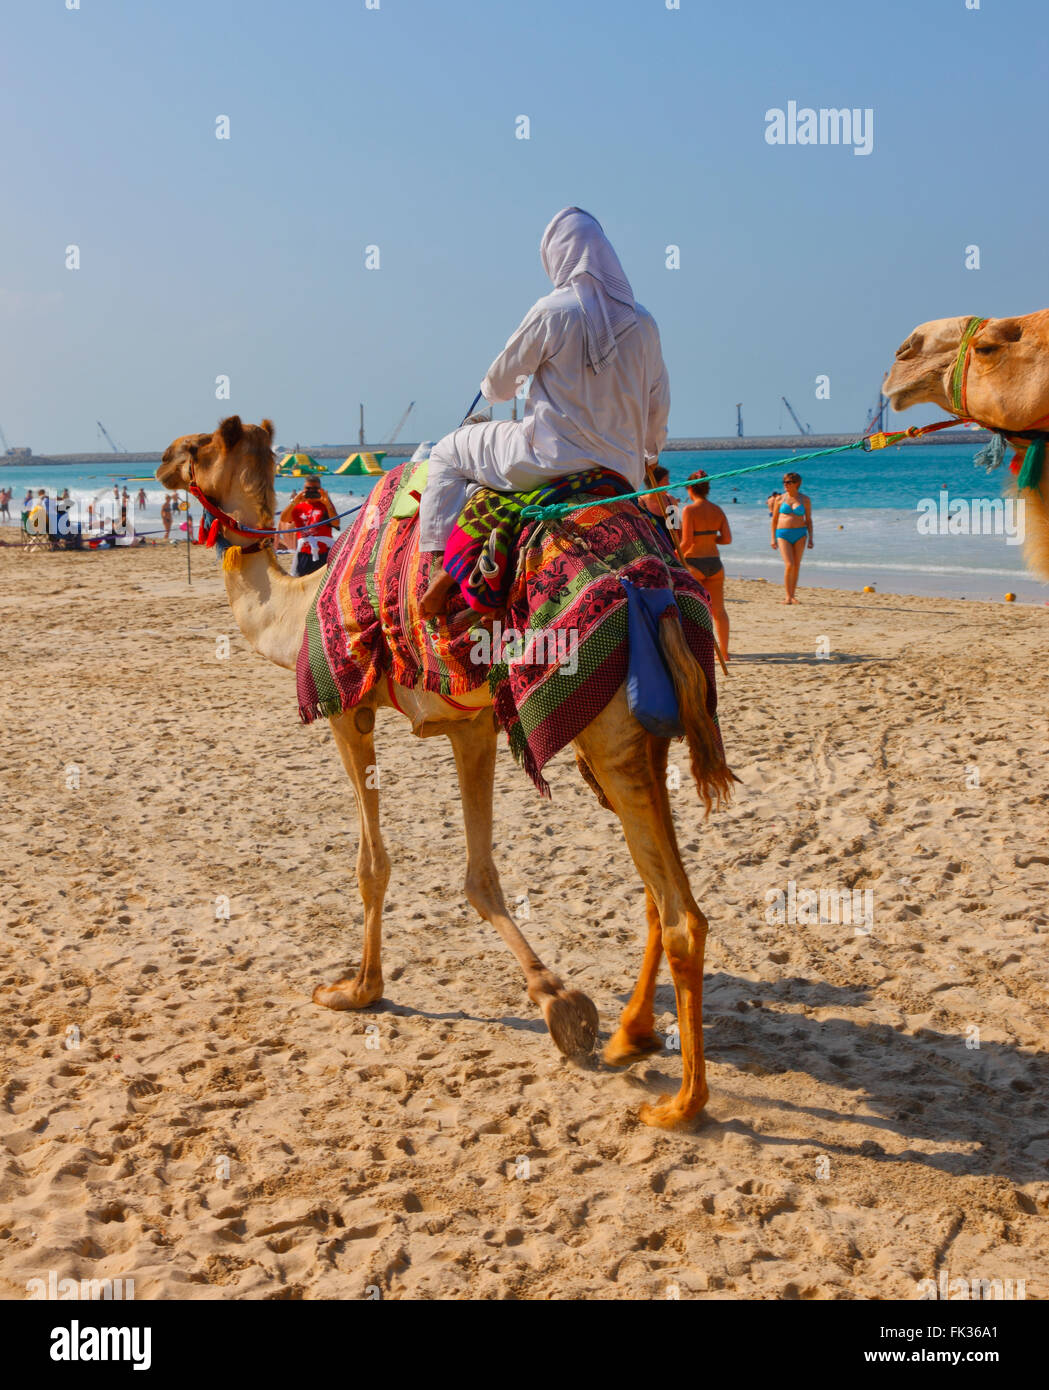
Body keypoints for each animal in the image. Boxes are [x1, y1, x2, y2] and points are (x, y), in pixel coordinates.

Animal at [158, 415, 734, 1130]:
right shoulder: (473, 726)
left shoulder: (347, 710)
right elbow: (477, 875)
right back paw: (632, 1035)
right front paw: (560, 1001)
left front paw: (359, 989)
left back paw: (680, 1105)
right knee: (658, 898)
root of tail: (661, 595)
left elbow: (376, 866)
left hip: (607, 736)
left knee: (681, 915)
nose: (161, 460)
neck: (296, 609)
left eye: (200, 446)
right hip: (635, 738)